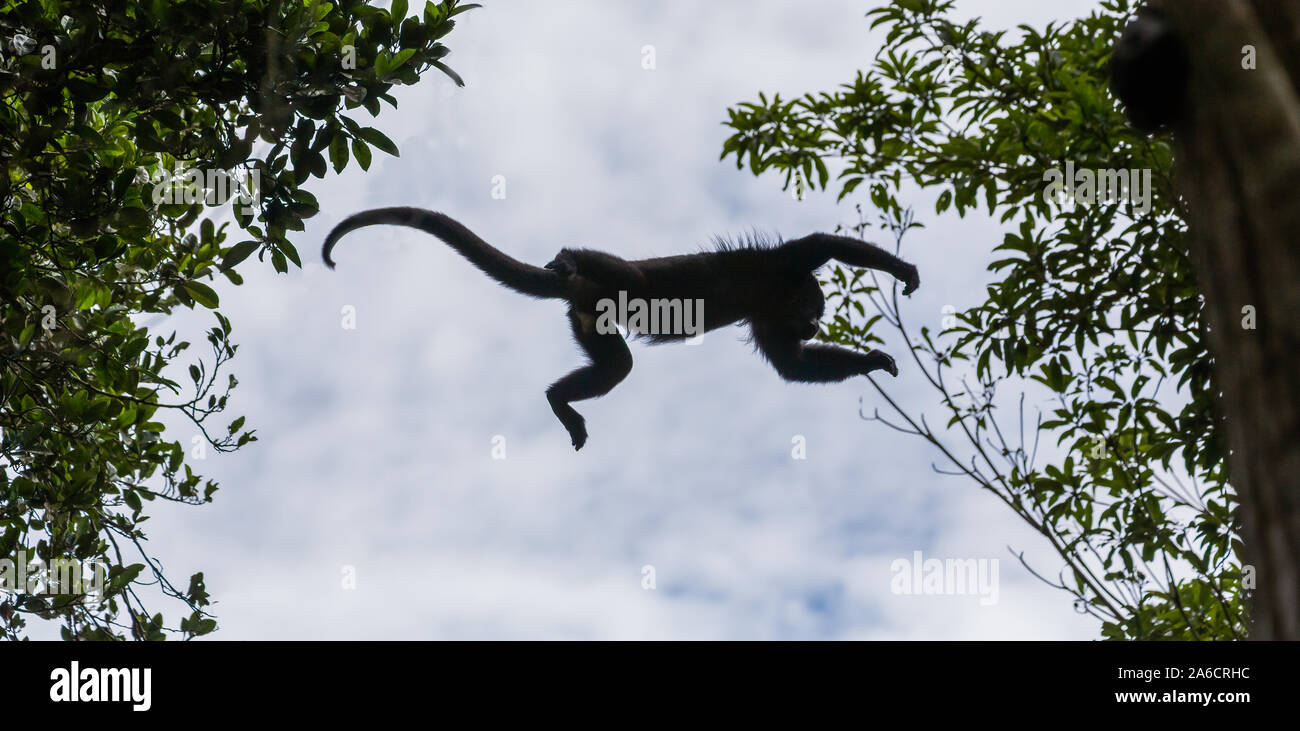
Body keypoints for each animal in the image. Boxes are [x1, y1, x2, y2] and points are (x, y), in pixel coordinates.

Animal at [322, 207, 920, 450]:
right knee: (624, 273)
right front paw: (905, 273)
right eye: (814, 308)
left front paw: (873, 361)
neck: (778, 294)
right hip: (613, 279)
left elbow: (793, 366)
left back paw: (558, 401)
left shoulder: (772, 316)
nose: (816, 322)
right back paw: (566, 259)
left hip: (589, 321)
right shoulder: (782, 267)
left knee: (616, 365)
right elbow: (821, 243)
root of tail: (577, 289)